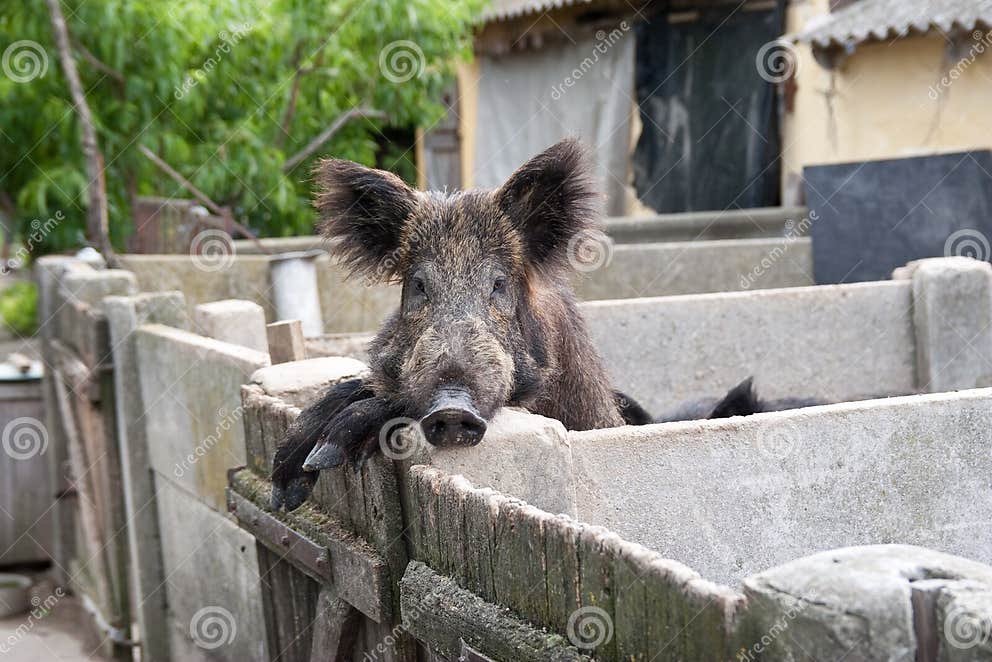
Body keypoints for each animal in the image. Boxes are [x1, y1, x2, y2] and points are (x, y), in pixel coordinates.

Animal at [271, 139, 630, 511]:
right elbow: (355, 386)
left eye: (498, 284)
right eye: (419, 285)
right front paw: (284, 491)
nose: (453, 405)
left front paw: (323, 455)